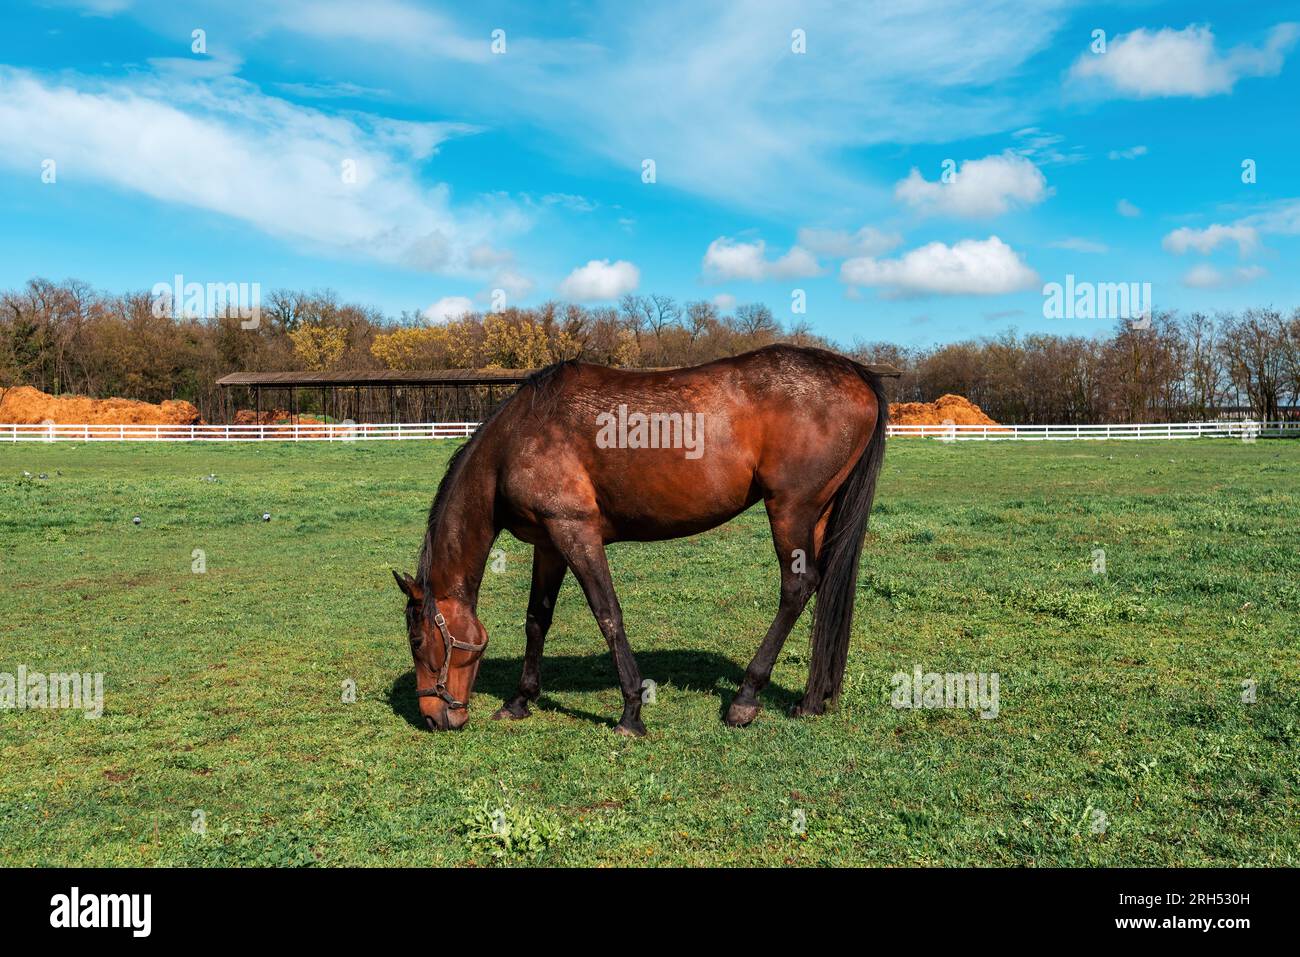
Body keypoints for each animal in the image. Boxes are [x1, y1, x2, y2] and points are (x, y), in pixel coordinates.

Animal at [393, 344, 893, 735]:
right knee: (823, 590)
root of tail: (857, 374)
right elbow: (537, 619)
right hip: (820, 513)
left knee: (797, 588)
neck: (519, 438)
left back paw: (745, 699)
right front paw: (520, 700)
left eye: (417, 641)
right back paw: (810, 700)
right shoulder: (550, 542)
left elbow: (608, 615)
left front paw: (631, 711)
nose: (434, 717)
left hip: (790, 509)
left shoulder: (576, 532)